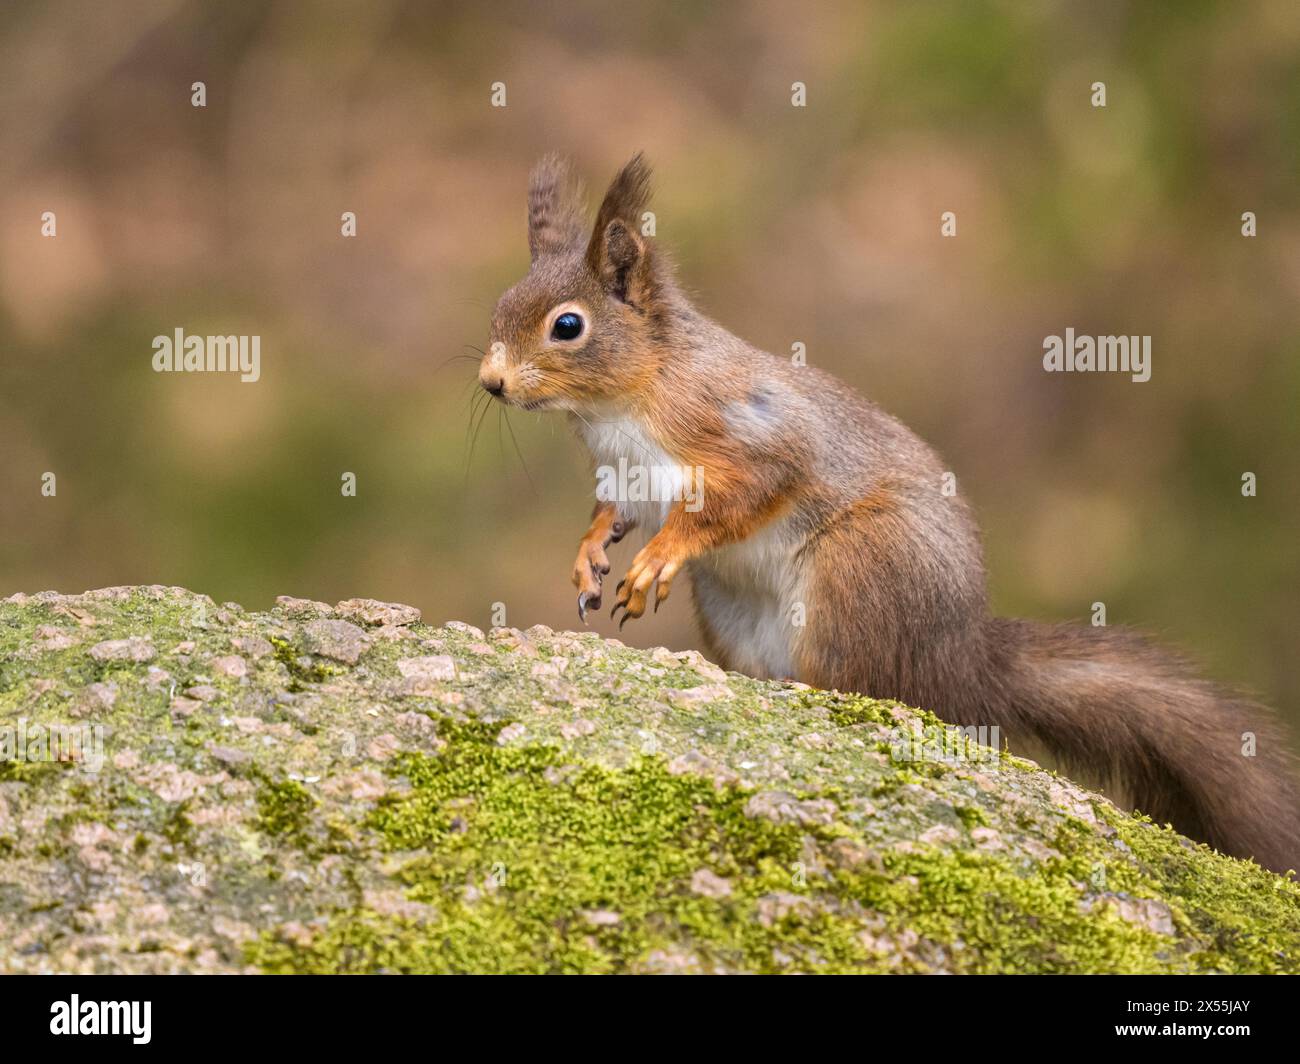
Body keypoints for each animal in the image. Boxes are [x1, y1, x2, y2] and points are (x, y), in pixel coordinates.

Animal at [481, 153, 1300, 874]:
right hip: (735, 609)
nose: (491, 383)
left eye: (567, 327)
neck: (625, 400)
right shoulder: (625, 476)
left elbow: (742, 497)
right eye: (499, 310)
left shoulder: (753, 435)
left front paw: (659, 557)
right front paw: (590, 555)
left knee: (867, 685)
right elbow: (610, 514)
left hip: (860, 568)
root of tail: (962, 664)